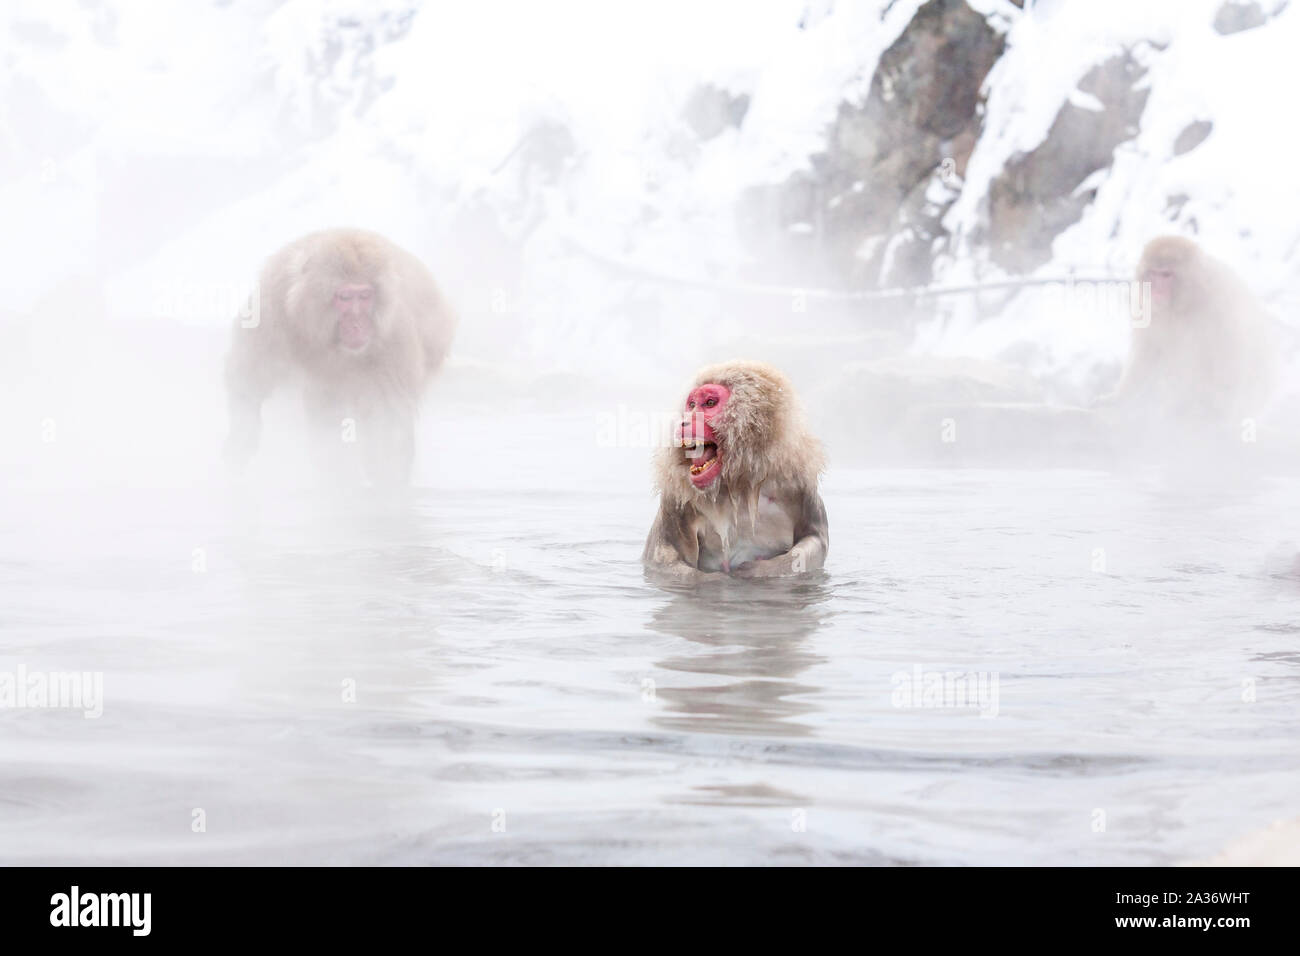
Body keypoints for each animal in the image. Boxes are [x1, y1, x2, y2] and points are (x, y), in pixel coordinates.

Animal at [223, 228, 456, 484]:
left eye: (365, 296)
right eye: (344, 297)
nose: (357, 324)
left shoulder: (393, 335)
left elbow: (387, 425)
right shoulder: (273, 304)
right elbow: (249, 381)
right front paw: (240, 440)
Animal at [643, 360, 828, 580]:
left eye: (709, 403)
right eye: (691, 405)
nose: (684, 422)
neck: (739, 483)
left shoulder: (798, 482)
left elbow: (814, 538)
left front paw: (755, 571)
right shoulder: (675, 500)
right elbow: (663, 557)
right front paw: (717, 579)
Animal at [1102, 235, 1281, 426]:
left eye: (1166, 274)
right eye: (1153, 273)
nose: (1156, 290)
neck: (1185, 302)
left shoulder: (1221, 302)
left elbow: (1229, 355)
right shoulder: (1145, 305)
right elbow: (1148, 351)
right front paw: (1118, 398)